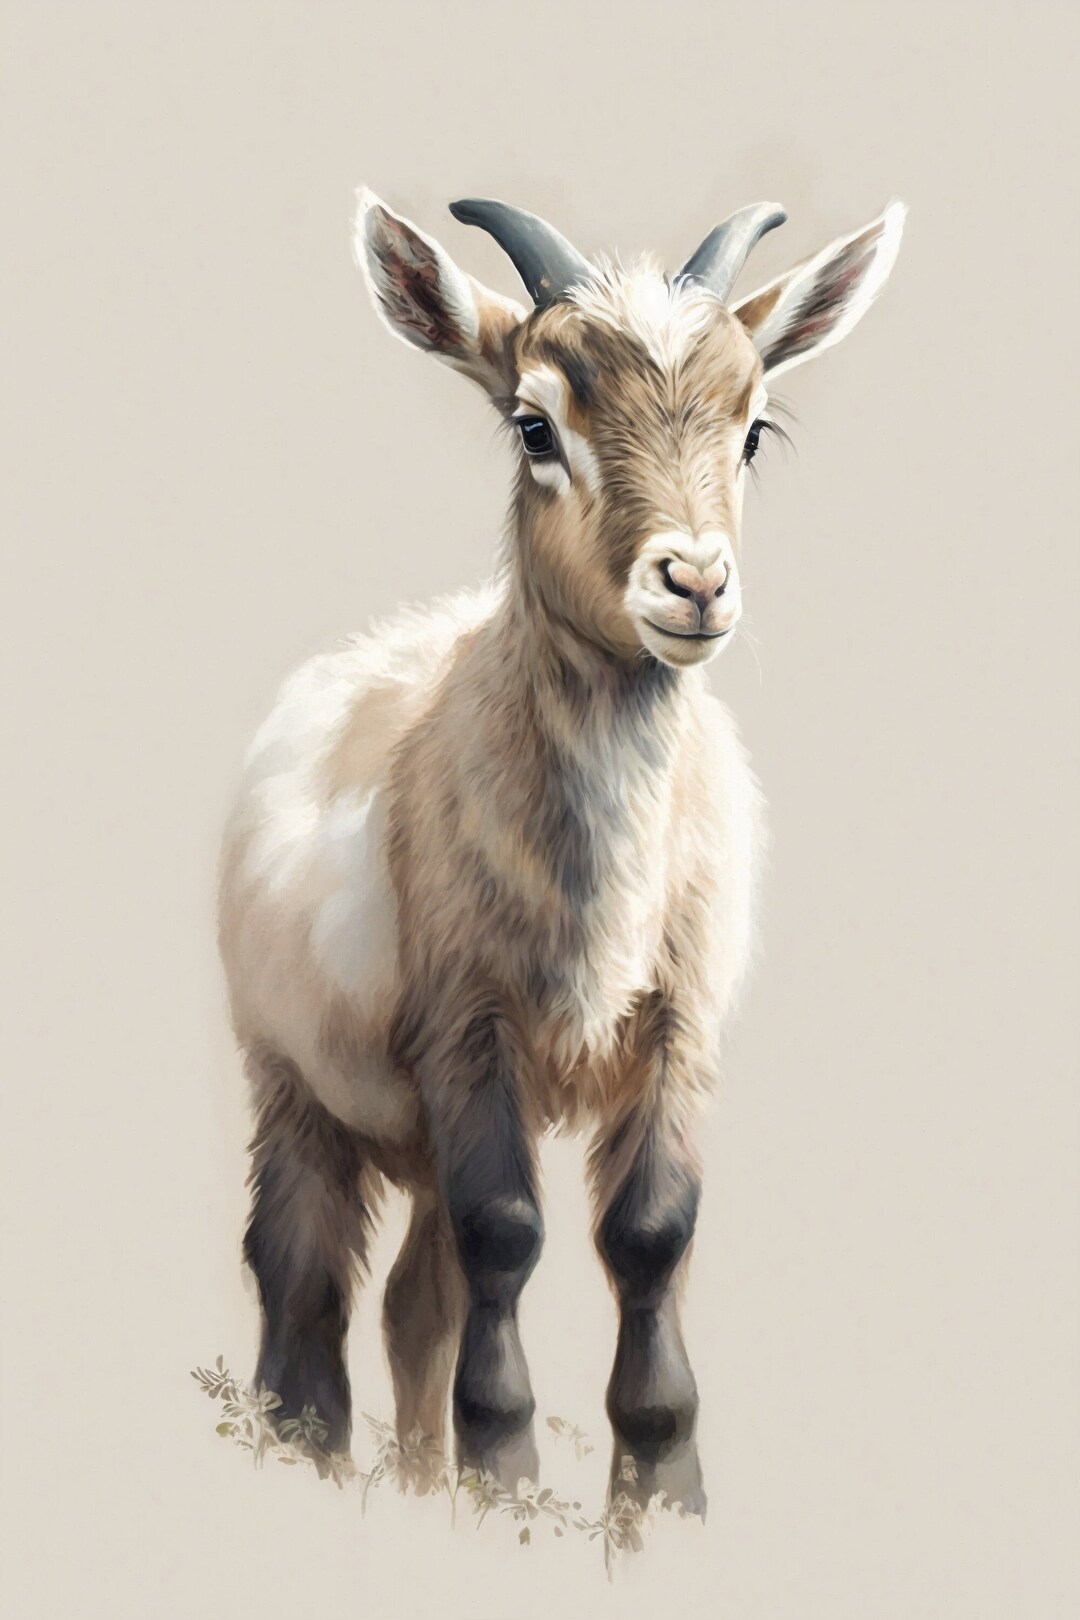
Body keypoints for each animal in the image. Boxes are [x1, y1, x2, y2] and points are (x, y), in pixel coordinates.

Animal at [218, 187, 903, 1515]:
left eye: (752, 429)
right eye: (536, 422)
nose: (693, 583)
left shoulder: (677, 1032)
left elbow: (650, 1237)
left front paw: (656, 1500)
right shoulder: (468, 1028)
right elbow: (507, 1234)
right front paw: (506, 1476)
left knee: (413, 1299)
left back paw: (419, 1486)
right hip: (298, 1086)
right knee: (304, 1276)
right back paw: (316, 1462)